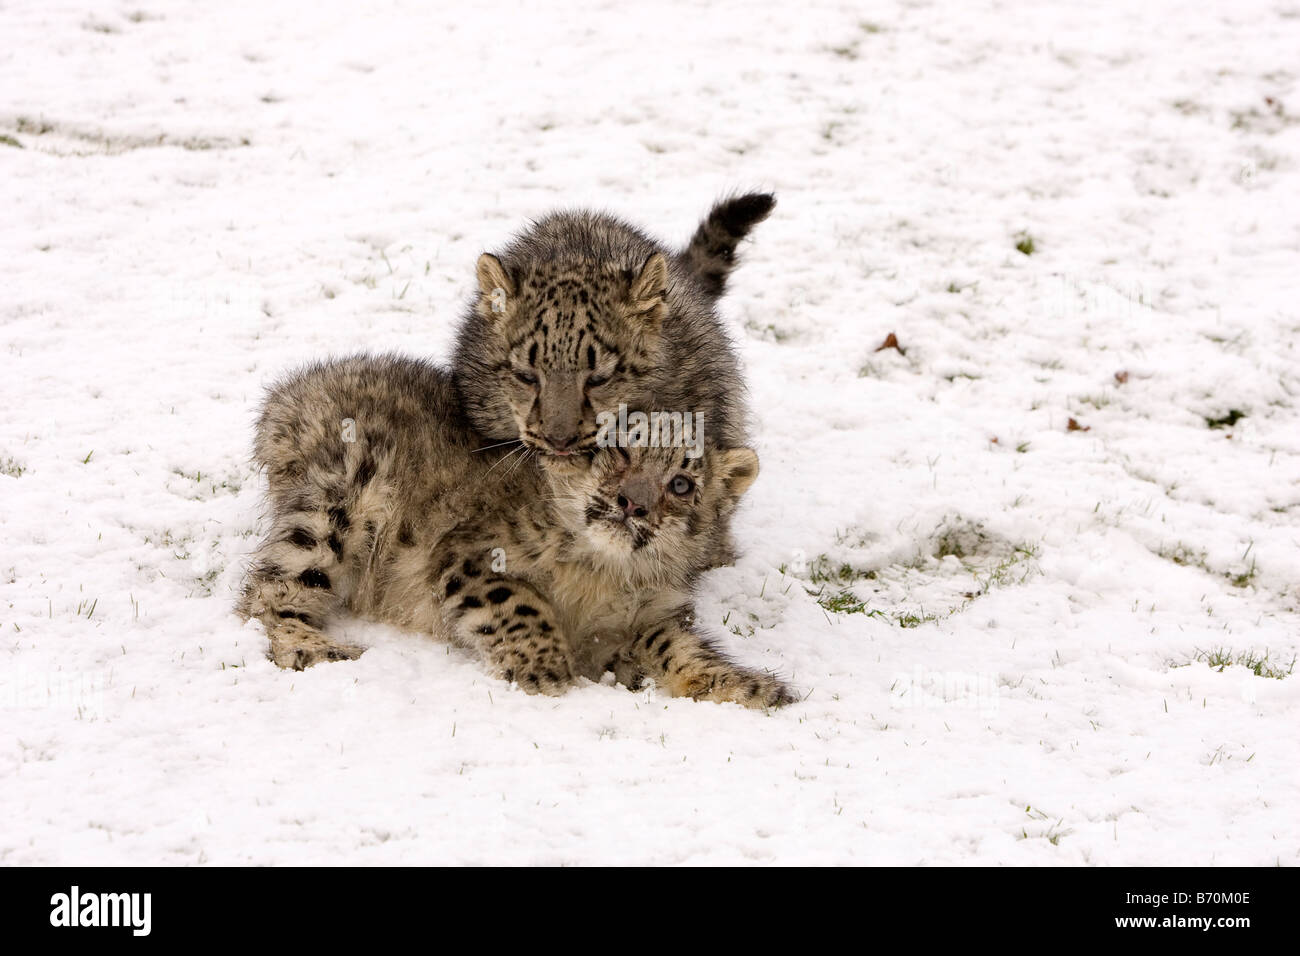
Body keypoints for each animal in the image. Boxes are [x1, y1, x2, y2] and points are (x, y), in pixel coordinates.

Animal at [236, 353, 797, 709]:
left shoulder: (649, 617)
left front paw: (750, 688)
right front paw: (547, 669)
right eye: (619, 449)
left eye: (681, 483)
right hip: (333, 508)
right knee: (267, 590)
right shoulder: (473, 553)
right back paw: (317, 647)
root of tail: (293, 391)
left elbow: (679, 650)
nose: (633, 503)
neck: (603, 576)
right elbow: (517, 600)